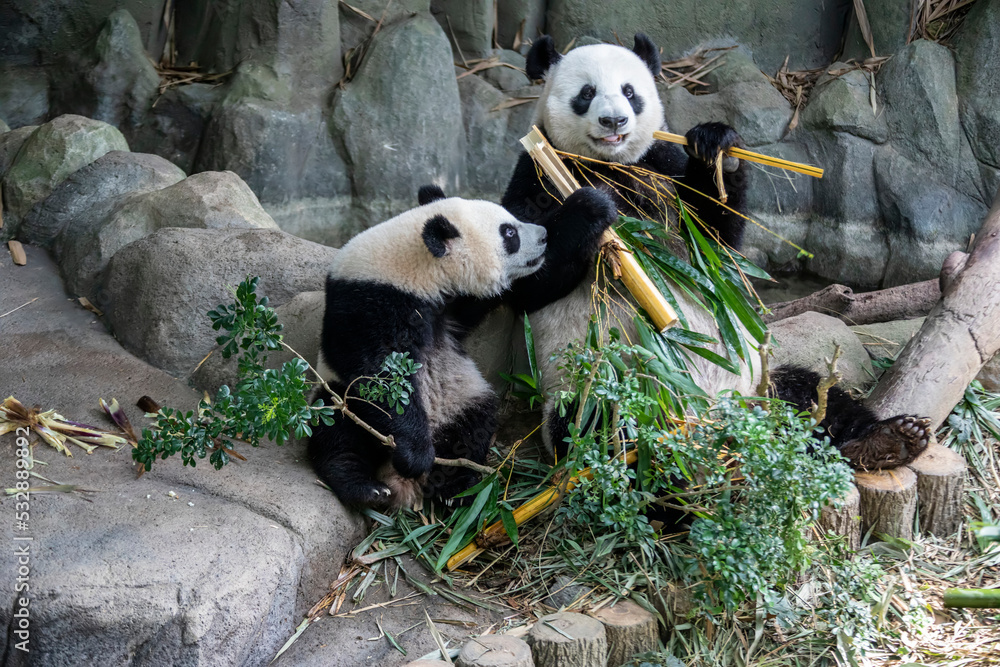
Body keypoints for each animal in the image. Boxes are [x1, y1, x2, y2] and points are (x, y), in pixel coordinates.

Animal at [307, 187, 557, 510]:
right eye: (509, 232)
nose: (543, 235)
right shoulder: (366, 303)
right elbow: (376, 375)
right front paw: (415, 455)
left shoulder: (454, 305)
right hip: (341, 397)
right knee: (335, 431)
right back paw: (366, 488)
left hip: (462, 399)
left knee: (472, 429)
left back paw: (453, 487)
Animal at [494, 34, 931, 471]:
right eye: (586, 94)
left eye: (630, 92)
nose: (614, 121)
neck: (609, 165)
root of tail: (717, 419)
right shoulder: (535, 175)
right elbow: (526, 284)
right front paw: (591, 207)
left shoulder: (659, 166)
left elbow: (714, 244)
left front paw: (718, 148)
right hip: (600, 381)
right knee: (597, 425)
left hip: (759, 382)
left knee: (812, 396)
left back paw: (887, 439)